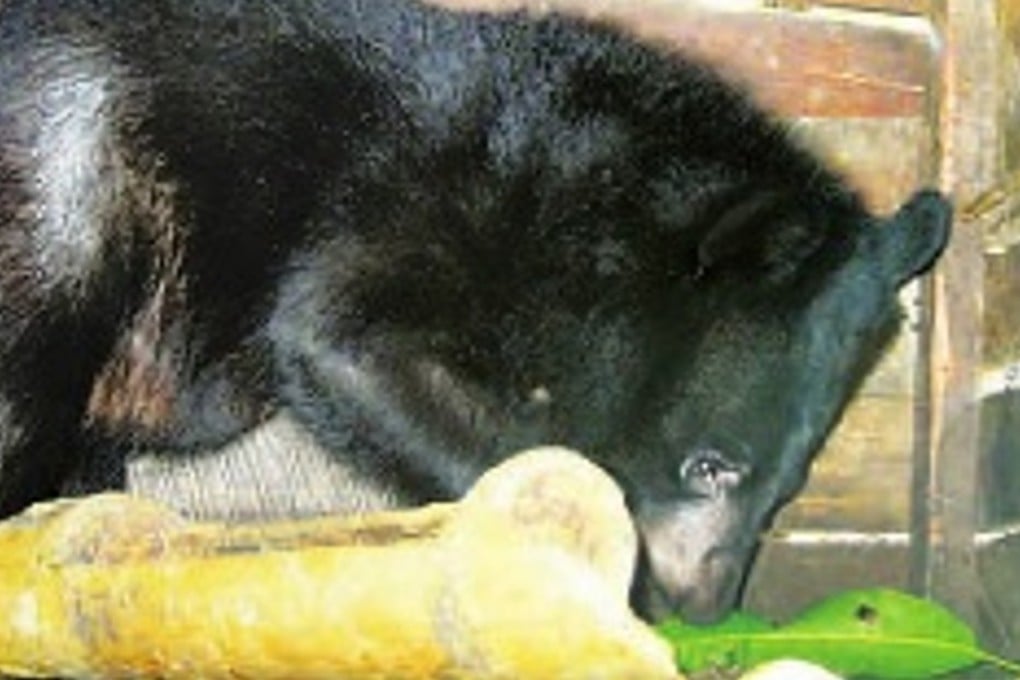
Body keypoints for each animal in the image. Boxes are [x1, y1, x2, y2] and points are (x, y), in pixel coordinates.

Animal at [0, 0, 950, 623]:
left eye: (789, 488)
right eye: (710, 466)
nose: (705, 608)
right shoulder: (409, 194)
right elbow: (338, 338)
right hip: (64, 190)